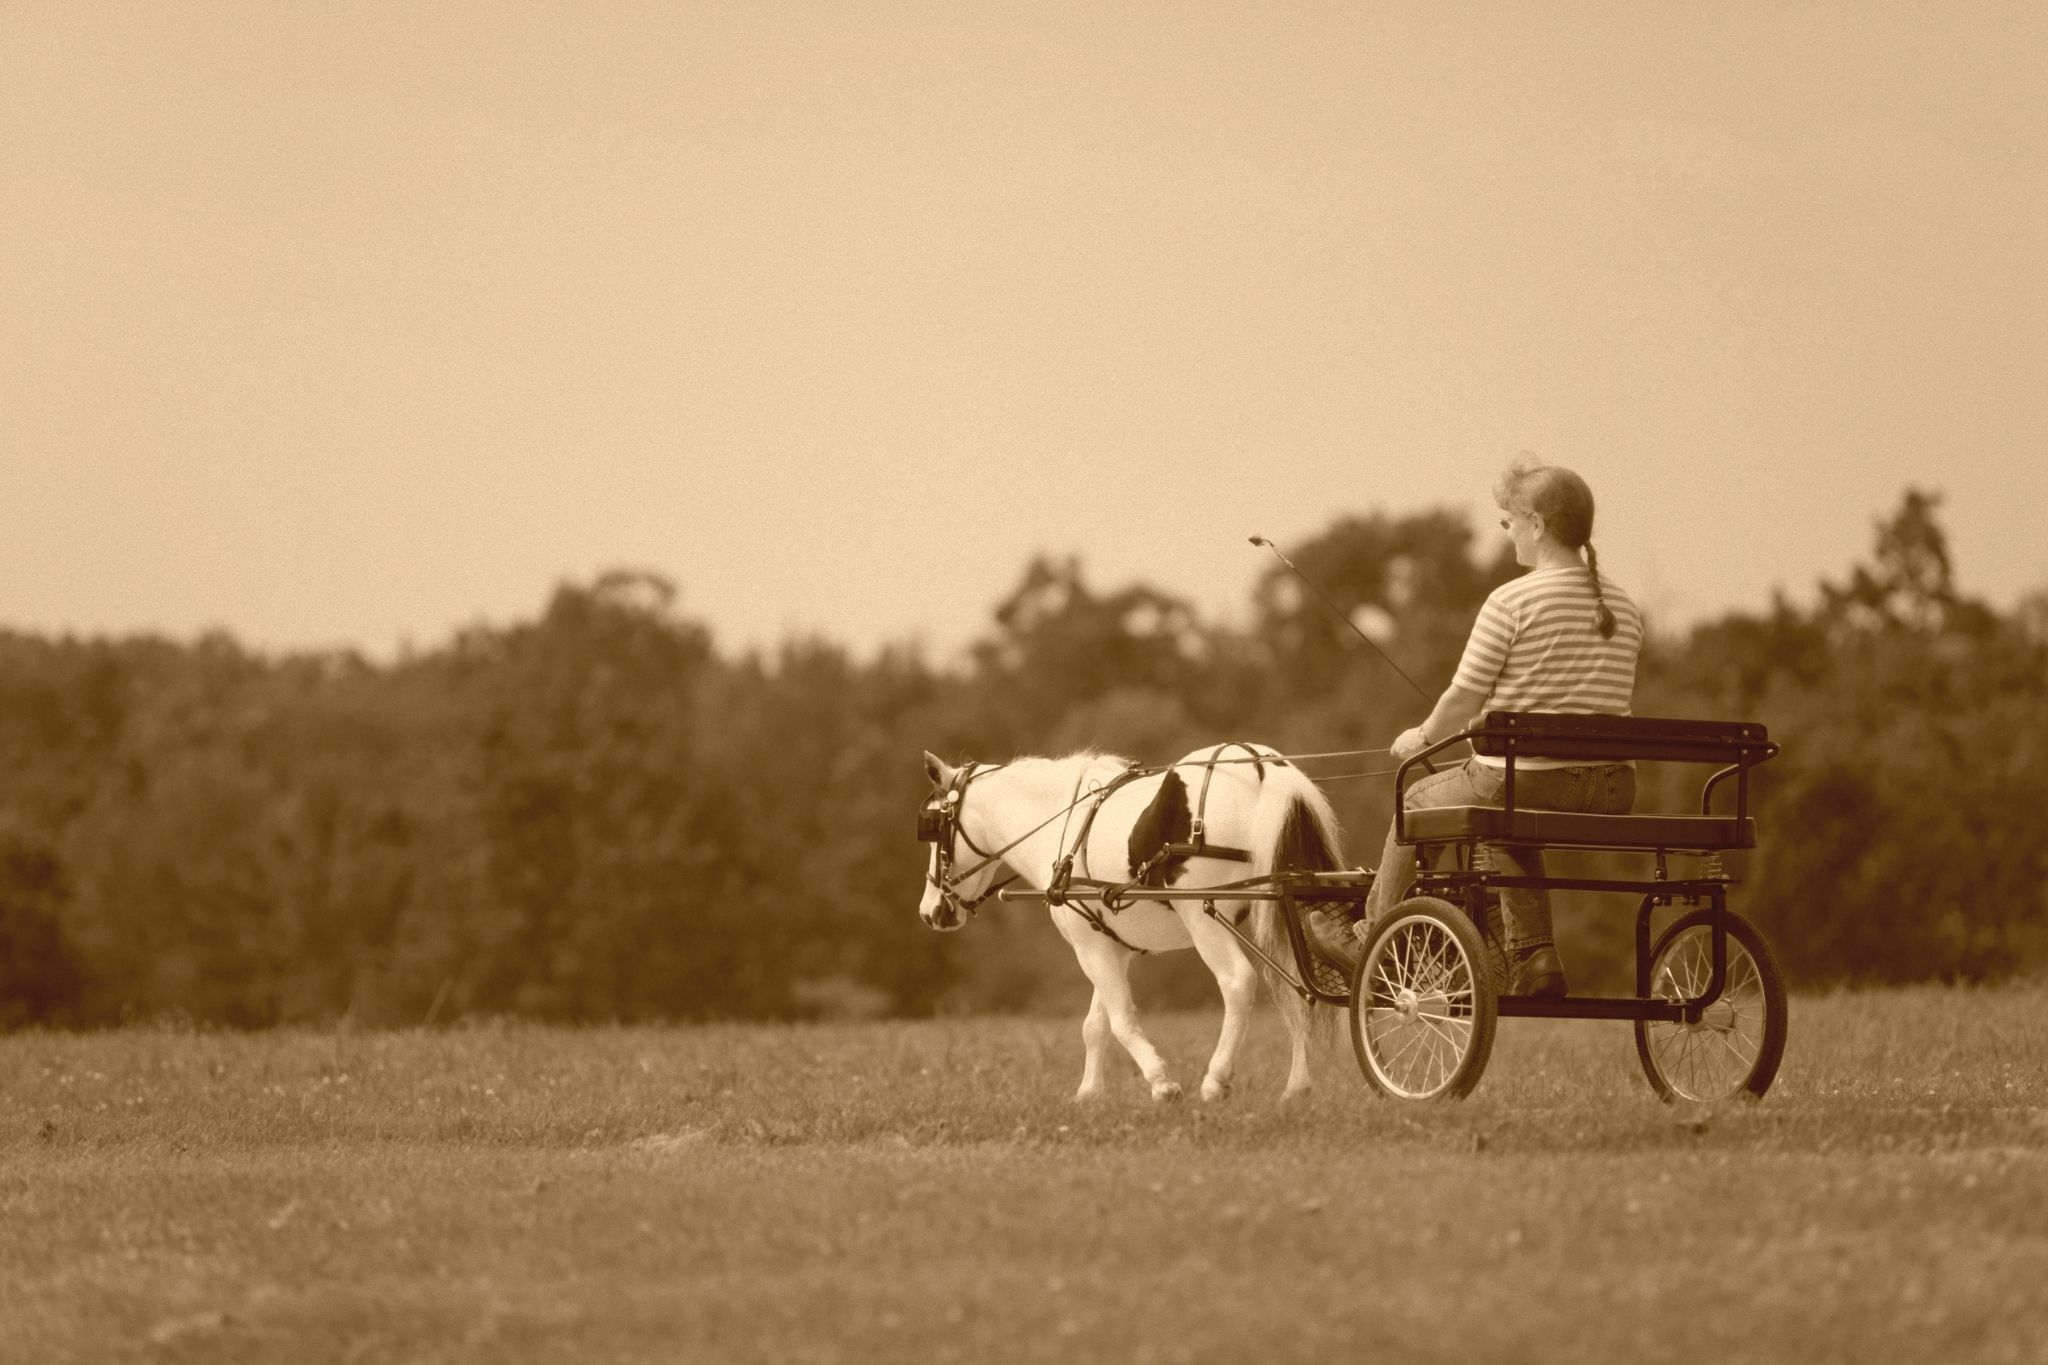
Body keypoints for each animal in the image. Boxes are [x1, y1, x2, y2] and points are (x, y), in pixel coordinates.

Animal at [918, 744, 1347, 1102]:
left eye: (934, 828)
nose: (929, 912)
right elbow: (1096, 1024)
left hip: (1203, 916)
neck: (1062, 826)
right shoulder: (1109, 943)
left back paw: (1216, 1078)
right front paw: (1089, 1094)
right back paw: (1296, 1087)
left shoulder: (1088, 946)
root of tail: (1262, 767)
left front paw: (1161, 1082)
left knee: (1238, 983)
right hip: (1285, 908)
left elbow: (1122, 1018)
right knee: (1298, 988)